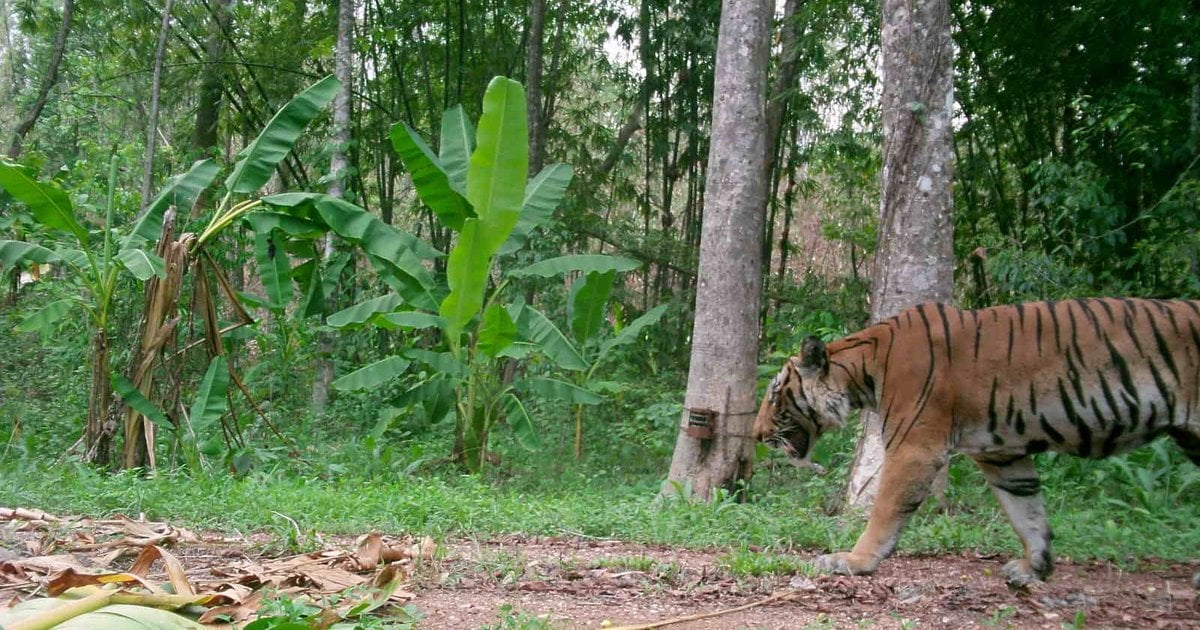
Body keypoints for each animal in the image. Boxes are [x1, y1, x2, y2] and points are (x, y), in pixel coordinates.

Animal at [754, 298, 1200, 587]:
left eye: (775, 396)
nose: (756, 435)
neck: (863, 371)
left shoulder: (914, 447)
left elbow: (884, 509)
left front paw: (854, 560)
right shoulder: (1003, 456)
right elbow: (1027, 512)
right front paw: (1034, 568)